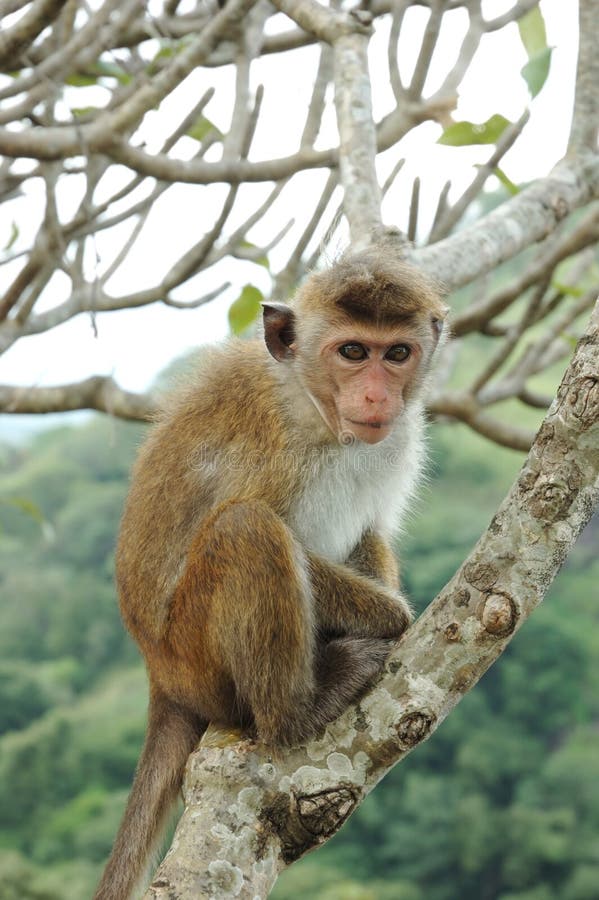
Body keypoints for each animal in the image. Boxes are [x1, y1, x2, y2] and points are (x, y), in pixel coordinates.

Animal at [94, 249, 448, 900]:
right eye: (352, 351)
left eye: (397, 353)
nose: (376, 396)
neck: (313, 407)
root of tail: (161, 676)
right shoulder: (272, 449)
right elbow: (255, 520)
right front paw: (393, 614)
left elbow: (368, 531)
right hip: (197, 656)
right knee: (245, 530)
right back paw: (296, 711)